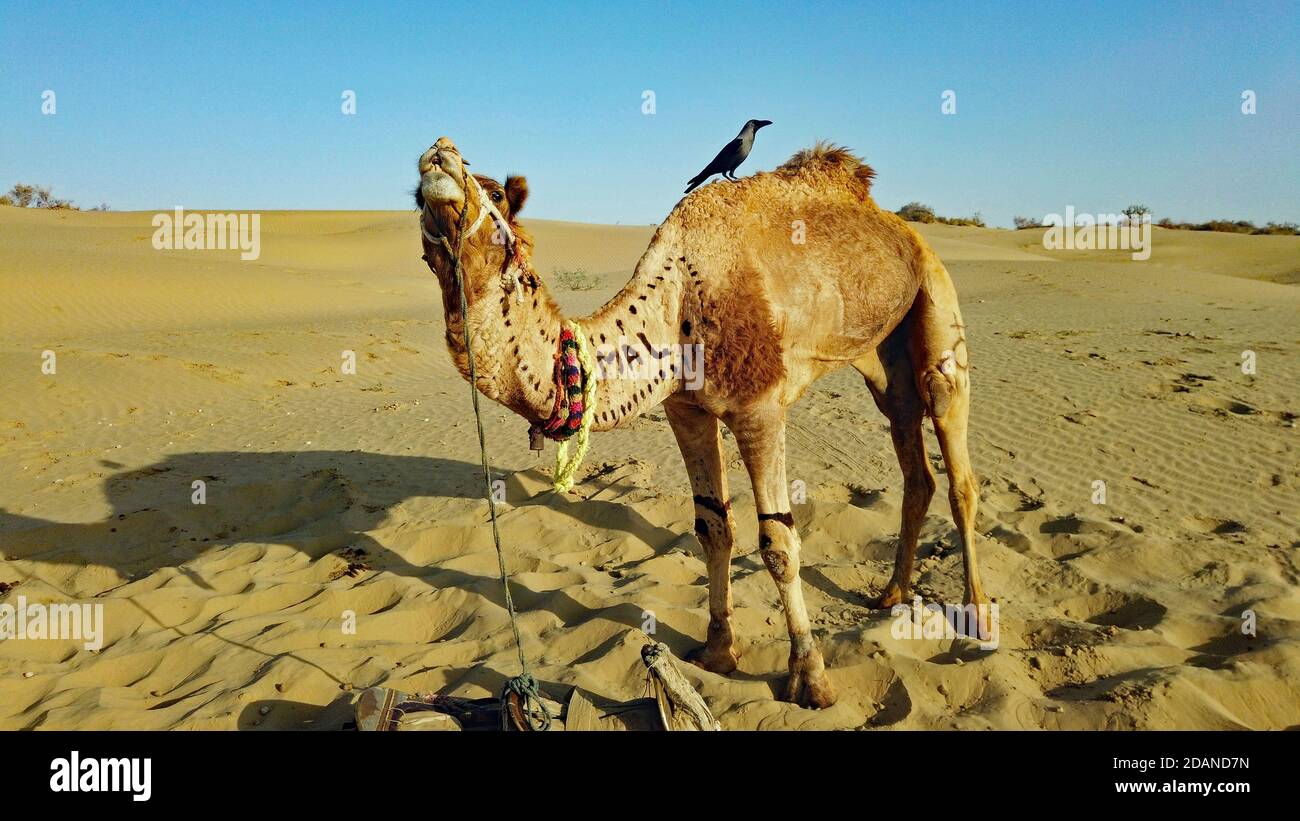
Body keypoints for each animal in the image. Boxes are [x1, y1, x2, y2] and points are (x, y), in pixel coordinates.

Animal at [415, 136, 988, 708]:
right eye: (415, 197)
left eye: (493, 191)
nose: (438, 153)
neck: (675, 306)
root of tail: (901, 227)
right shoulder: (685, 410)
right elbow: (712, 527)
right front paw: (717, 651)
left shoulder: (760, 407)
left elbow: (778, 543)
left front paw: (810, 678)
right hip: (882, 362)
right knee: (914, 460)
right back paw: (891, 594)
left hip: (936, 303)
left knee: (957, 465)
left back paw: (978, 617)